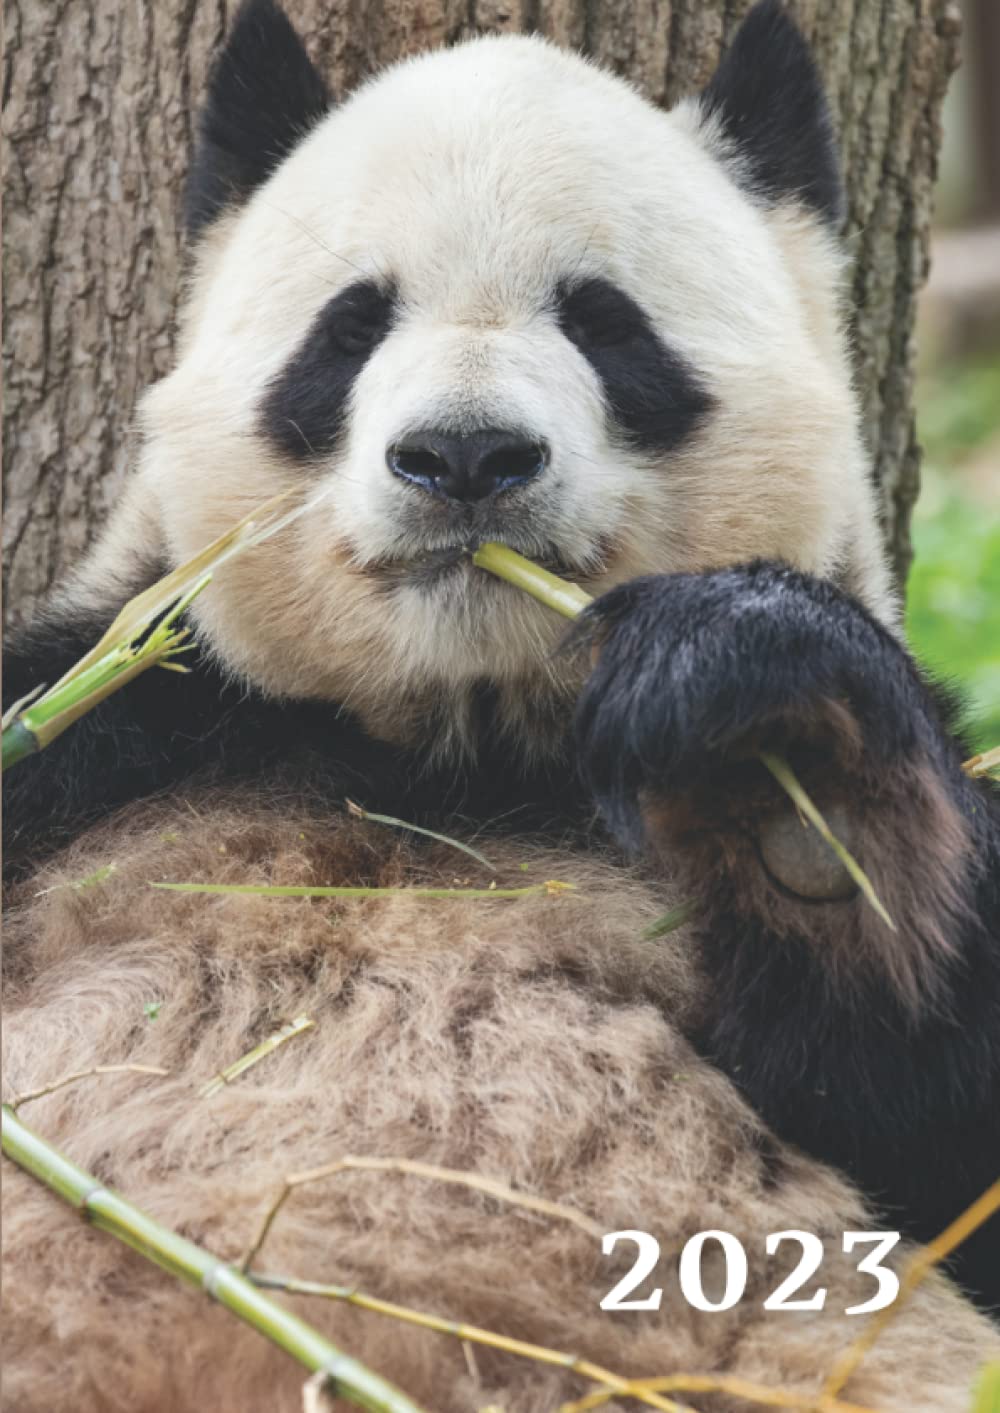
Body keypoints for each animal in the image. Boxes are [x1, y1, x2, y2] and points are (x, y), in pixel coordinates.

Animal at [3, 0, 999, 1408]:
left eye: (605, 322)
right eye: (351, 327)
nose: (465, 455)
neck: (452, 756)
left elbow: (946, 1122)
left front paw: (777, 754)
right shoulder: (125, 728)